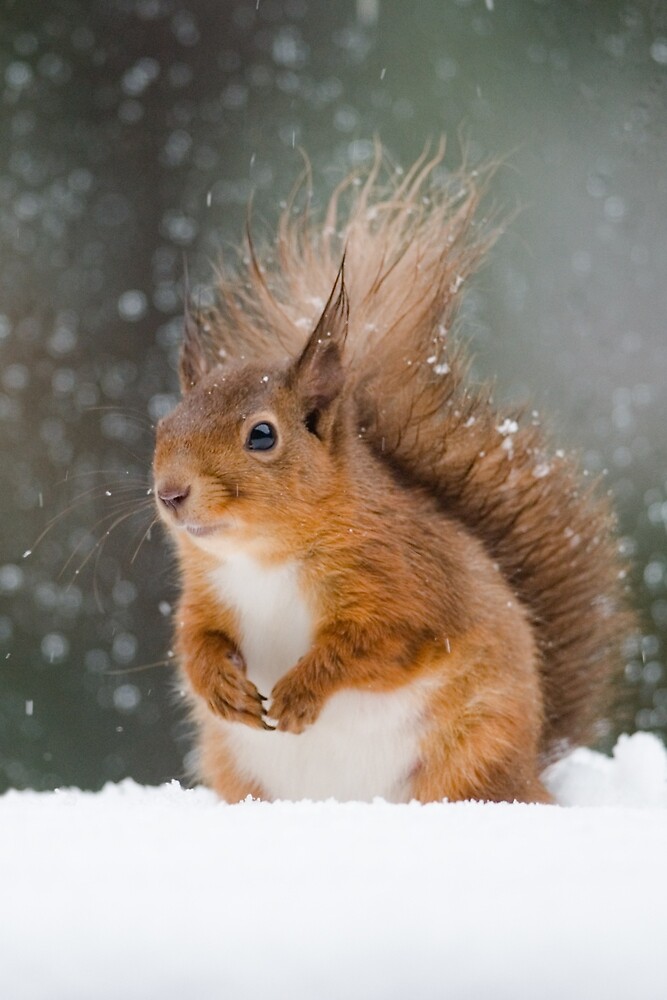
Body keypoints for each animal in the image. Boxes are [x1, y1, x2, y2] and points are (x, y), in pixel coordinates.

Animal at [153, 143, 632, 804]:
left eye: (262, 435)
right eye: (161, 426)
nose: (170, 493)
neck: (264, 562)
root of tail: (533, 773)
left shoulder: (411, 585)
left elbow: (376, 645)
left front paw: (300, 693)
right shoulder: (205, 597)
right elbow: (192, 644)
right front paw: (220, 687)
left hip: (469, 760)